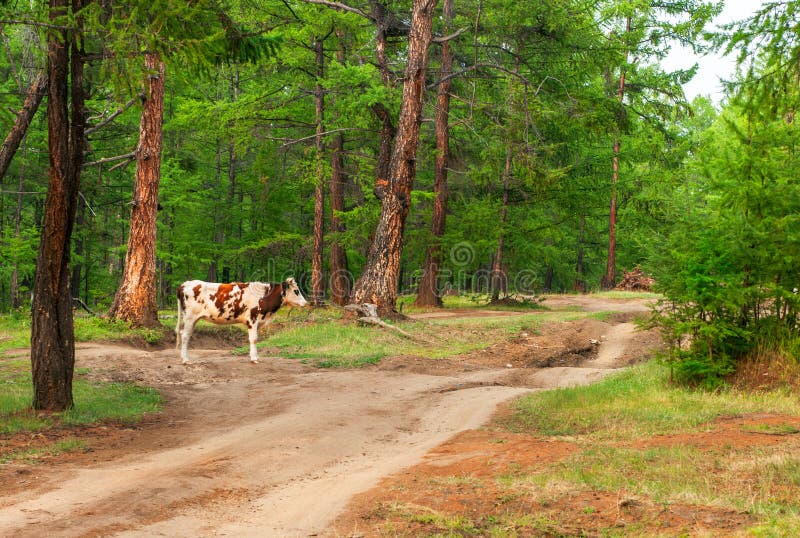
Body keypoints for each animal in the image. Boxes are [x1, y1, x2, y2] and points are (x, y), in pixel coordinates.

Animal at [175, 277, 307, 364]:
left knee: (185, 334)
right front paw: (254, 358)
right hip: (189, 317)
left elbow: (255, 339)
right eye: (296, 291)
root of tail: (185, 284)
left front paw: (256, 356)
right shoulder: (252, 320)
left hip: (193, 319)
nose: (305, 303)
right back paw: (185, 360)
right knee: (185, 336)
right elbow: (253, 339)